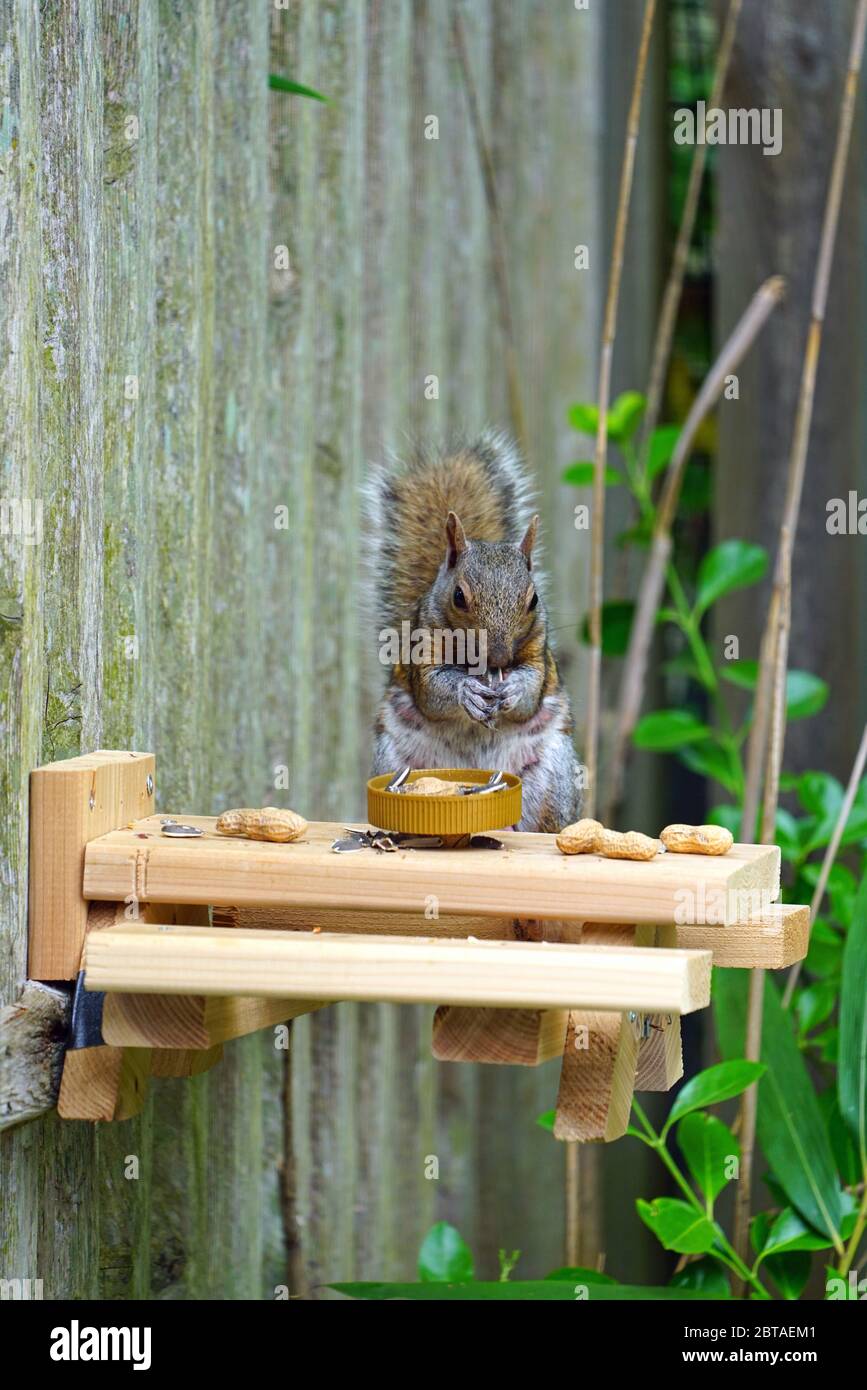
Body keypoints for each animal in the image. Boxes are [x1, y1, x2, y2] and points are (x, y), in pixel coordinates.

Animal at [364, 431, 585, 832]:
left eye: (533, 599)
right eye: (458, 596)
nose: (498, 657)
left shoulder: (538, 647)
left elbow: (531, 689)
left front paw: (513, 688)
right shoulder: (424, 644)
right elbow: (434, 690)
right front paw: (466, 690)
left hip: (551, 779)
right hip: (394, 762)